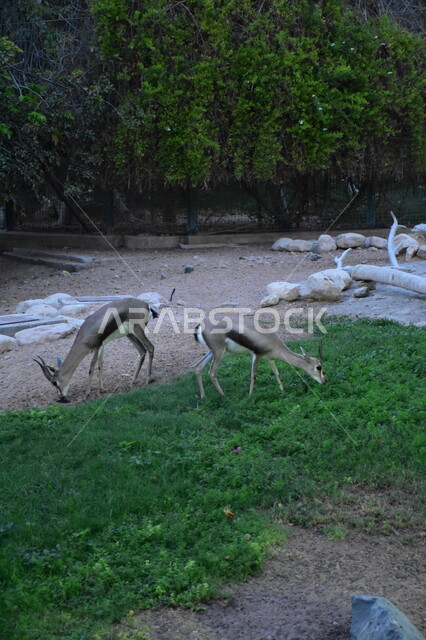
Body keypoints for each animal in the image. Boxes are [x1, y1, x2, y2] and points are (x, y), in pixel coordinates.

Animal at [194, 317, 326, 398]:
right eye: (318, 367)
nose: (324, 381)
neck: (273, 341)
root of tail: (201, 325)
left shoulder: (269, 358)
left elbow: (276, 373)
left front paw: (283, 391)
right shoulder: (256, 355)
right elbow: (253, 375)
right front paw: (250, 396)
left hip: (213, 352)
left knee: (198, 367)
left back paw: (202, 396)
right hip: (219, 352)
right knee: (212, 373)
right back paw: (224, 396)